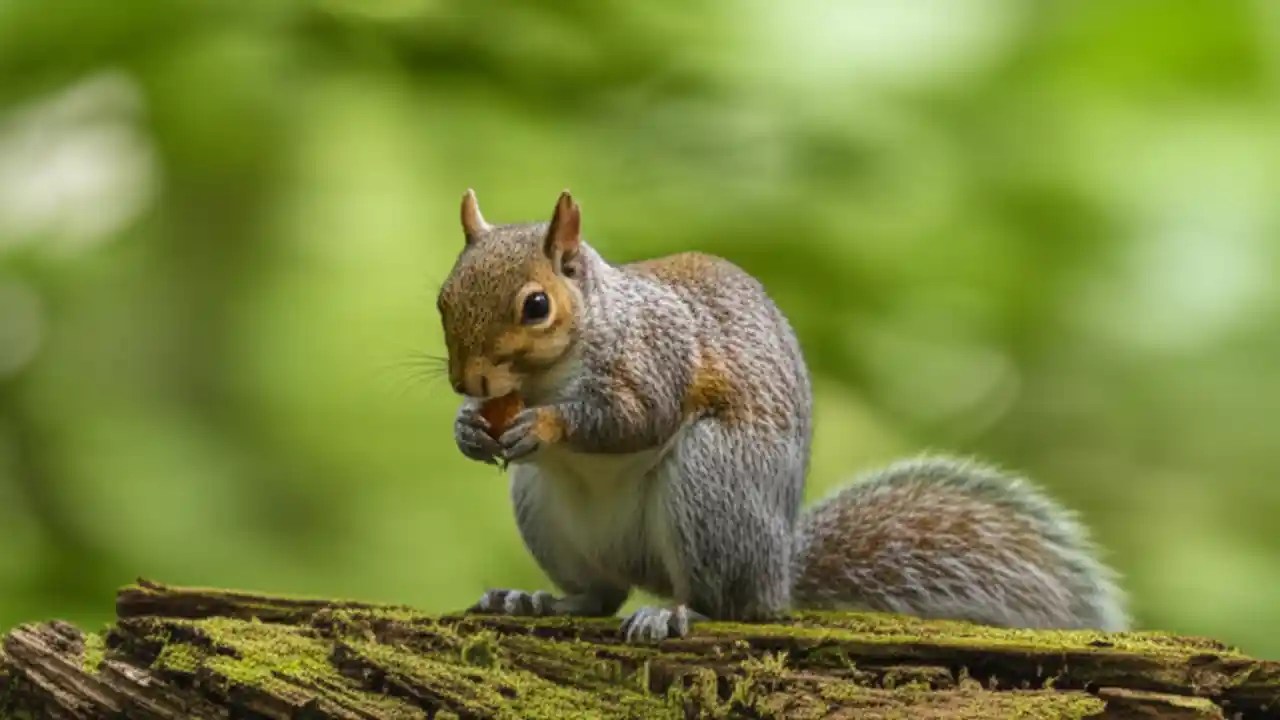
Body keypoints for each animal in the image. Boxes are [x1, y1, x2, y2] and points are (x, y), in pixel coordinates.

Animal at [435, 189, 1129, 643]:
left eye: (536, 306)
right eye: (443, 297)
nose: (467, 381)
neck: (546, 376)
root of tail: (776, 575)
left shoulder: (658, 356)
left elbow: (636, 417)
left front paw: (545, 424)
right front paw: (467, 426)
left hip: (712, 486)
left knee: (723, 603)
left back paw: (676, 613)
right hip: (544, 508)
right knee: (600, 596)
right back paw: (538, 601)